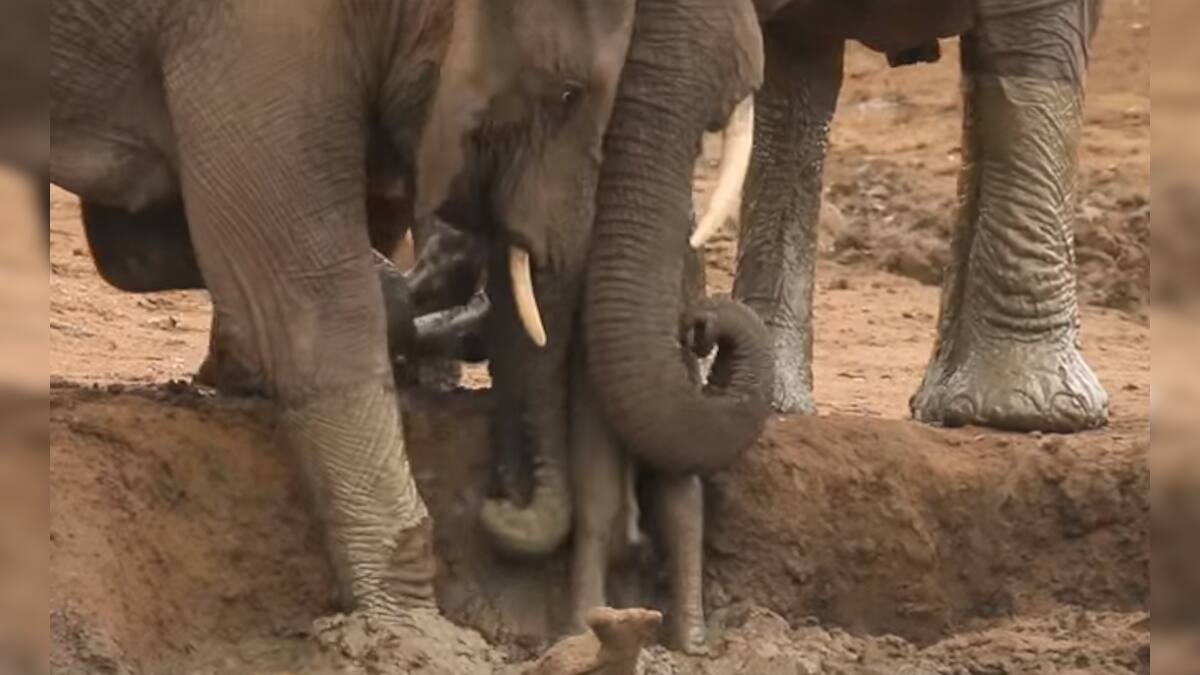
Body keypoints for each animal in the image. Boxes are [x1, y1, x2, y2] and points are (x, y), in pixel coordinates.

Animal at [49, 0, 640, 620]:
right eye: (570, 94)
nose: (502, 501)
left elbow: (135, 243)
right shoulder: (260, 36)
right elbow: (308, 296)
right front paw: (404, 622)